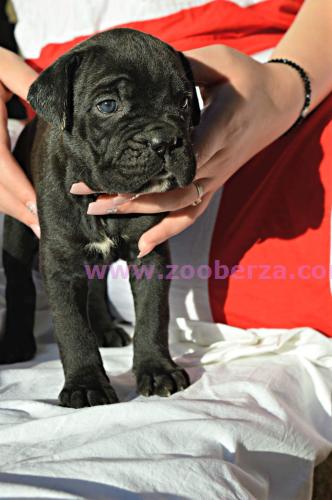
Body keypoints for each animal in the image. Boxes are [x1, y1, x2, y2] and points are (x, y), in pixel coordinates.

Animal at [0, 28, 198, 406]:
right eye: (107, 105)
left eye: (184, 102)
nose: (165, 140)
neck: (102, 194)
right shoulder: (61, 264)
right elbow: (72, 328)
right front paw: (86, 384)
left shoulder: (149, 256)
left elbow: (152, 316)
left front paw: (157, 370)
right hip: (17, 236)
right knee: (20, 286)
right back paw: (16, 343)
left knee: (96, 284)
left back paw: (105, 329)